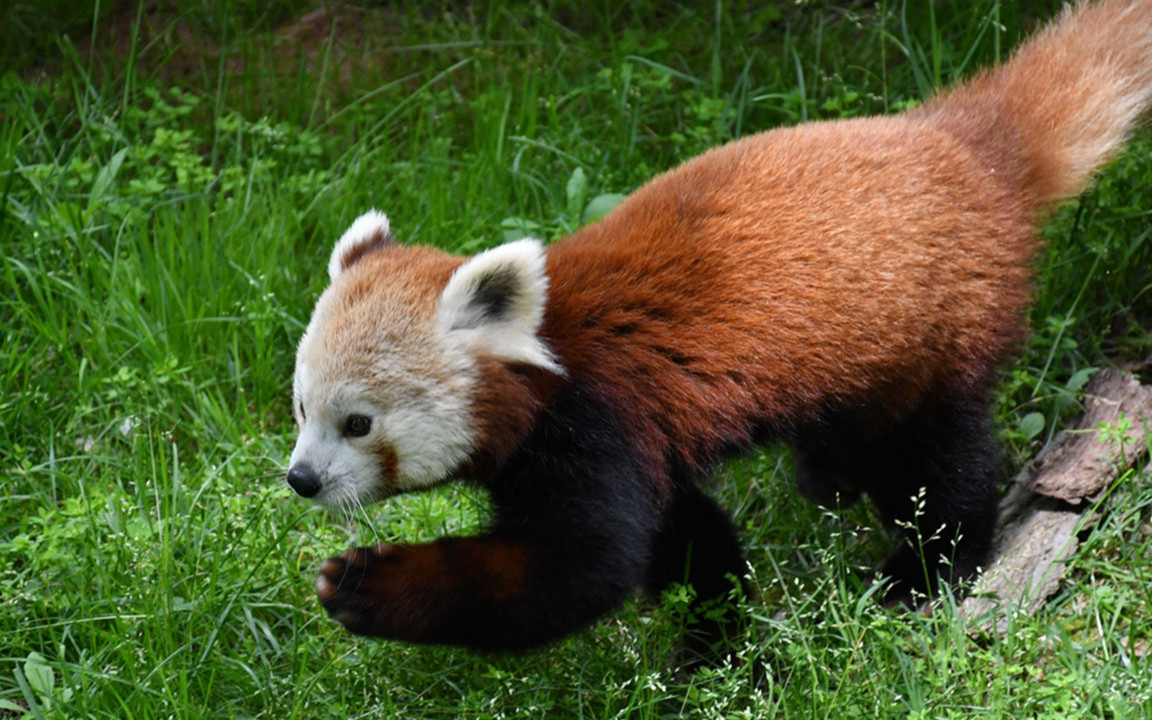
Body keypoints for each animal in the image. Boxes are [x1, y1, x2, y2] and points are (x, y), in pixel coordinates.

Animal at [286, 0, 1152, 663]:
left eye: (358, 424)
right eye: (299, 408)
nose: (300, 480)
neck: (546, 365)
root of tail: (963, 145)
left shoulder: (597, 425)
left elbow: (577, 572)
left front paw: (368, 585)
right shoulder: (641, 443)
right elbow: (686, 536)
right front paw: (713, 632)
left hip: (939, 336)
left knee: (941, 467)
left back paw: (923, 571)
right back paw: (829, 479)